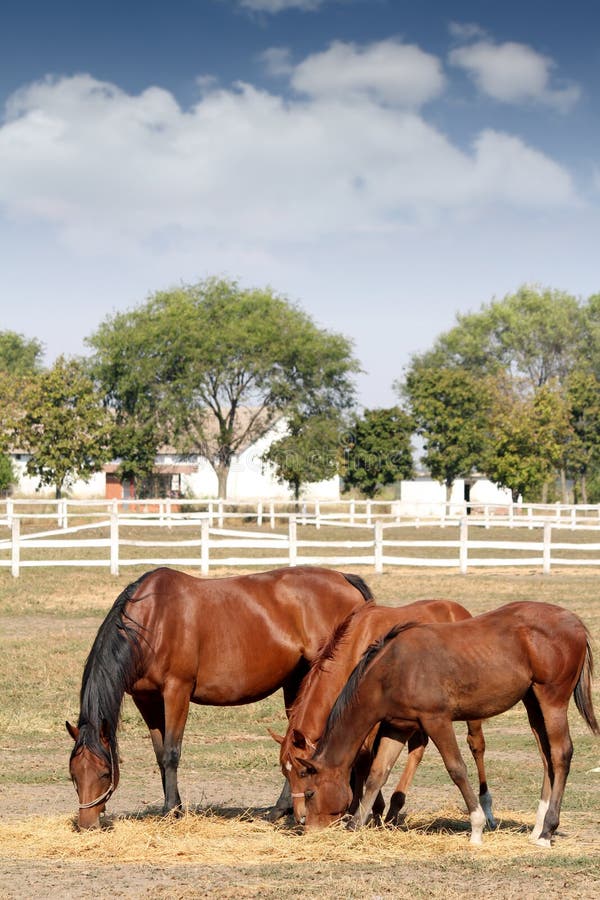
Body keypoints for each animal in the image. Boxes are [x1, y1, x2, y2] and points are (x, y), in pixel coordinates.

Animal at [66, 565, 373, 829]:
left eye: (104, 773)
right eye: (73, 774)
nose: (87, 824)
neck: (153, 620)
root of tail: (344, 579)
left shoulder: (176, 691)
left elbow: (172, 753)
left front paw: (170, 812)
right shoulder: (146, 699)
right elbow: (159, 754)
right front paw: (175, 808)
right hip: (297, 682)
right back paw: (280, 810)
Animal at [271, 600, 496, 829]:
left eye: (303, 772)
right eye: (286, 772)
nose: (301, 817)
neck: (356, 645)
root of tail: (458, 608)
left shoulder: (373, 718)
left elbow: (364, 759)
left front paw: (362, 809)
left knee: (476, 745)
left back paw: (486, 809)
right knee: (417, 749)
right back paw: (394, 809)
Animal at [298, 601, 599, 847]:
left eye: (310, 792)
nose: (309, 830)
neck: (393, 668)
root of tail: (574, 620)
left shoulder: (436, 721)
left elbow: (457, 769)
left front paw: (476, 827)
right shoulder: (398, 727)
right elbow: (376, 774)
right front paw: (356, 825)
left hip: (552, 701)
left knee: (560, 754)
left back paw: (547, 830)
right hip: (533, 703)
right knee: (547, 757)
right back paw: (537, 829)